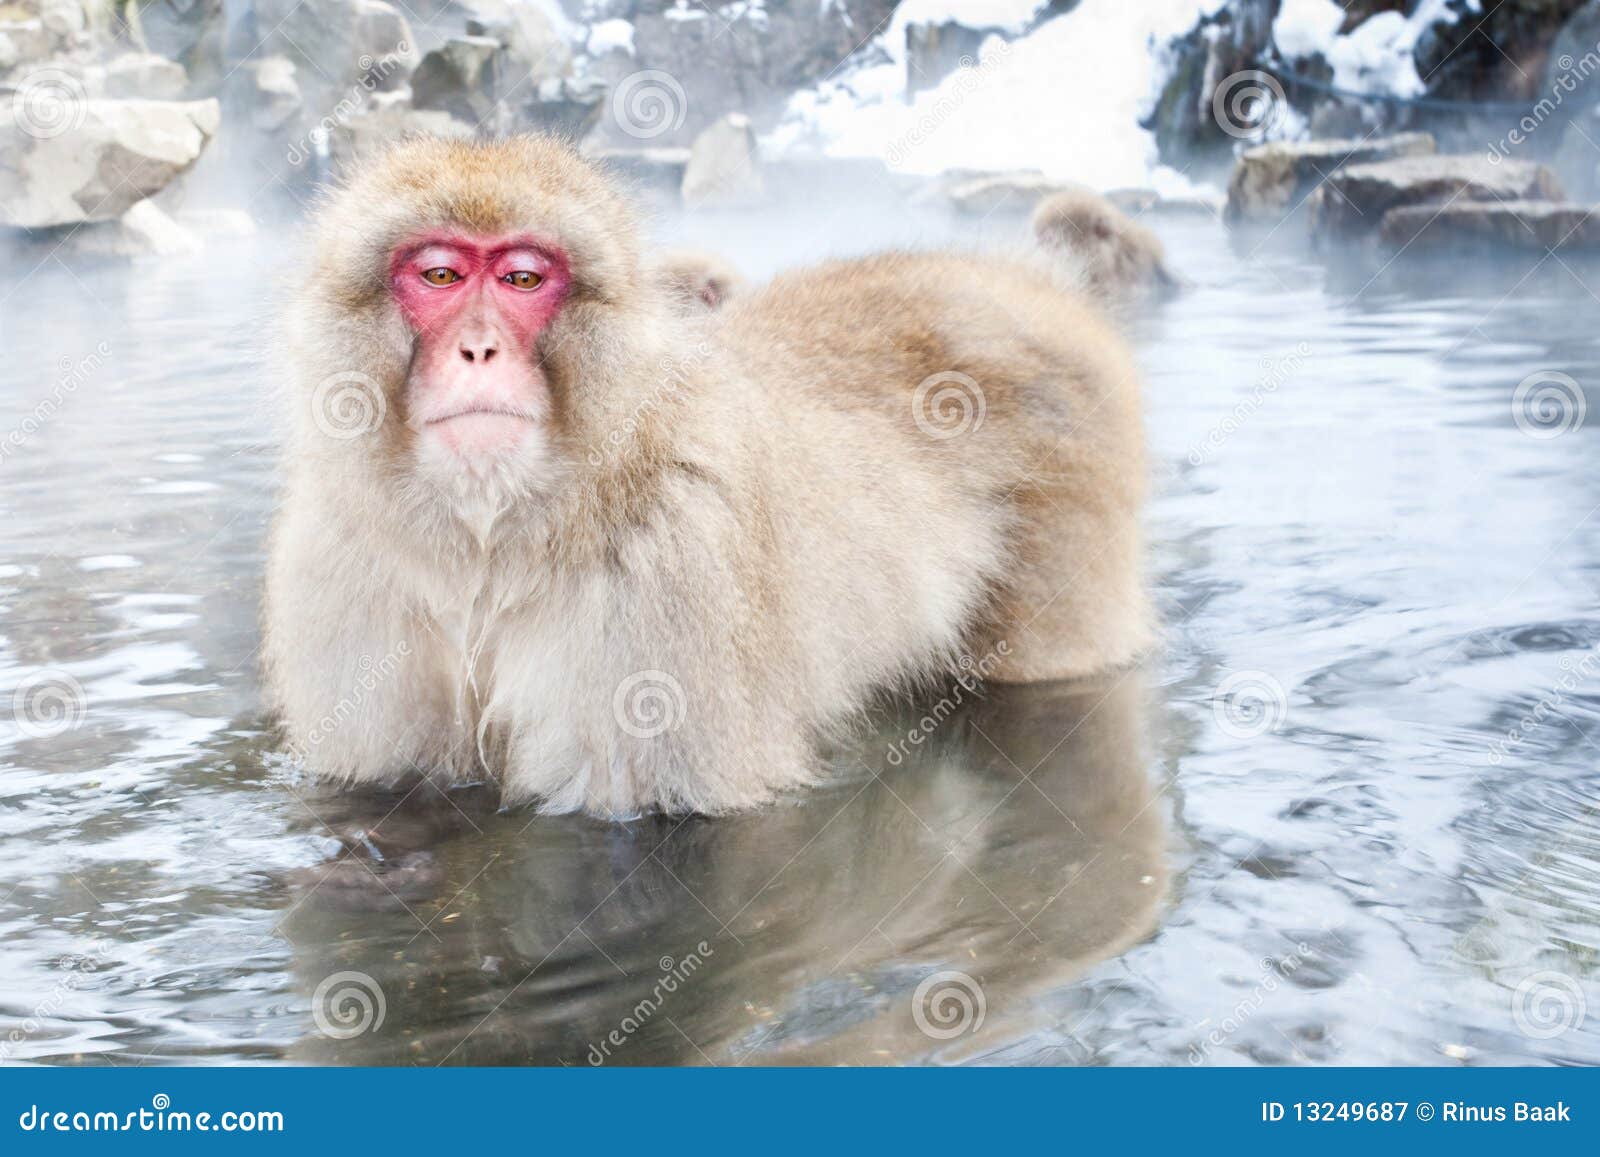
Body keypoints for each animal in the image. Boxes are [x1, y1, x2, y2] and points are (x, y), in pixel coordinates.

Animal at [263, 134, 1151, 818]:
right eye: (441, 276)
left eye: (522, 279)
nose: (477, 348)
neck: (505, 543)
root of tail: (1033, 286)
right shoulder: (343, 566)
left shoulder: (667, 586)